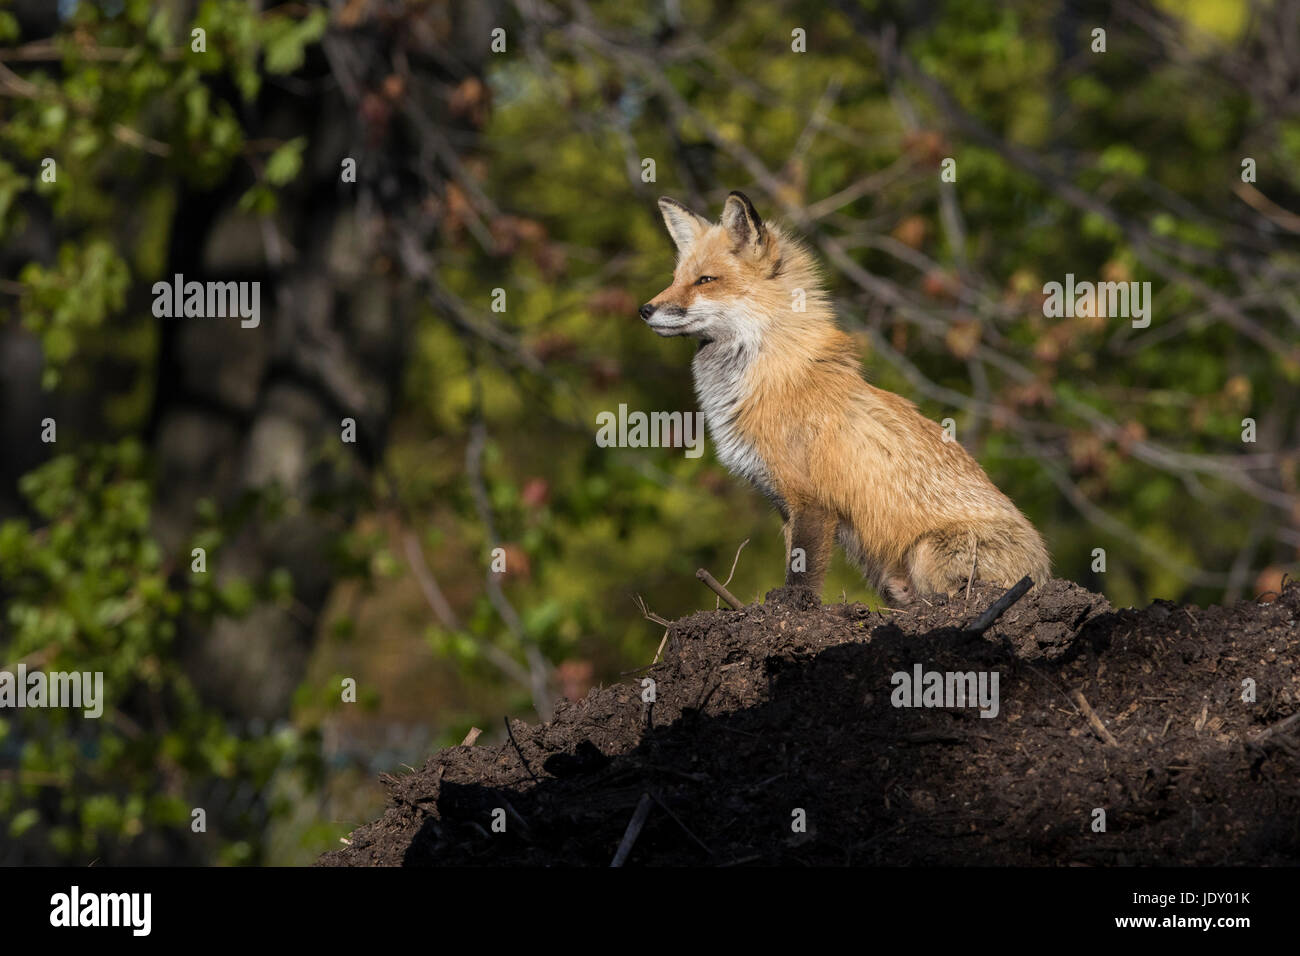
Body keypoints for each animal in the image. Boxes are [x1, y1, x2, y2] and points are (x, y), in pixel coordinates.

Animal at [640, 190, 1050, 605]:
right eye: (675, 280)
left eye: (705, 280)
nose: (645, 310)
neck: (771, 378)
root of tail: (1047, 573)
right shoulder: (784, 504)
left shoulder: (813, 500)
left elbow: (802, 575)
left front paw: (792, 609)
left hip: (926, 552)